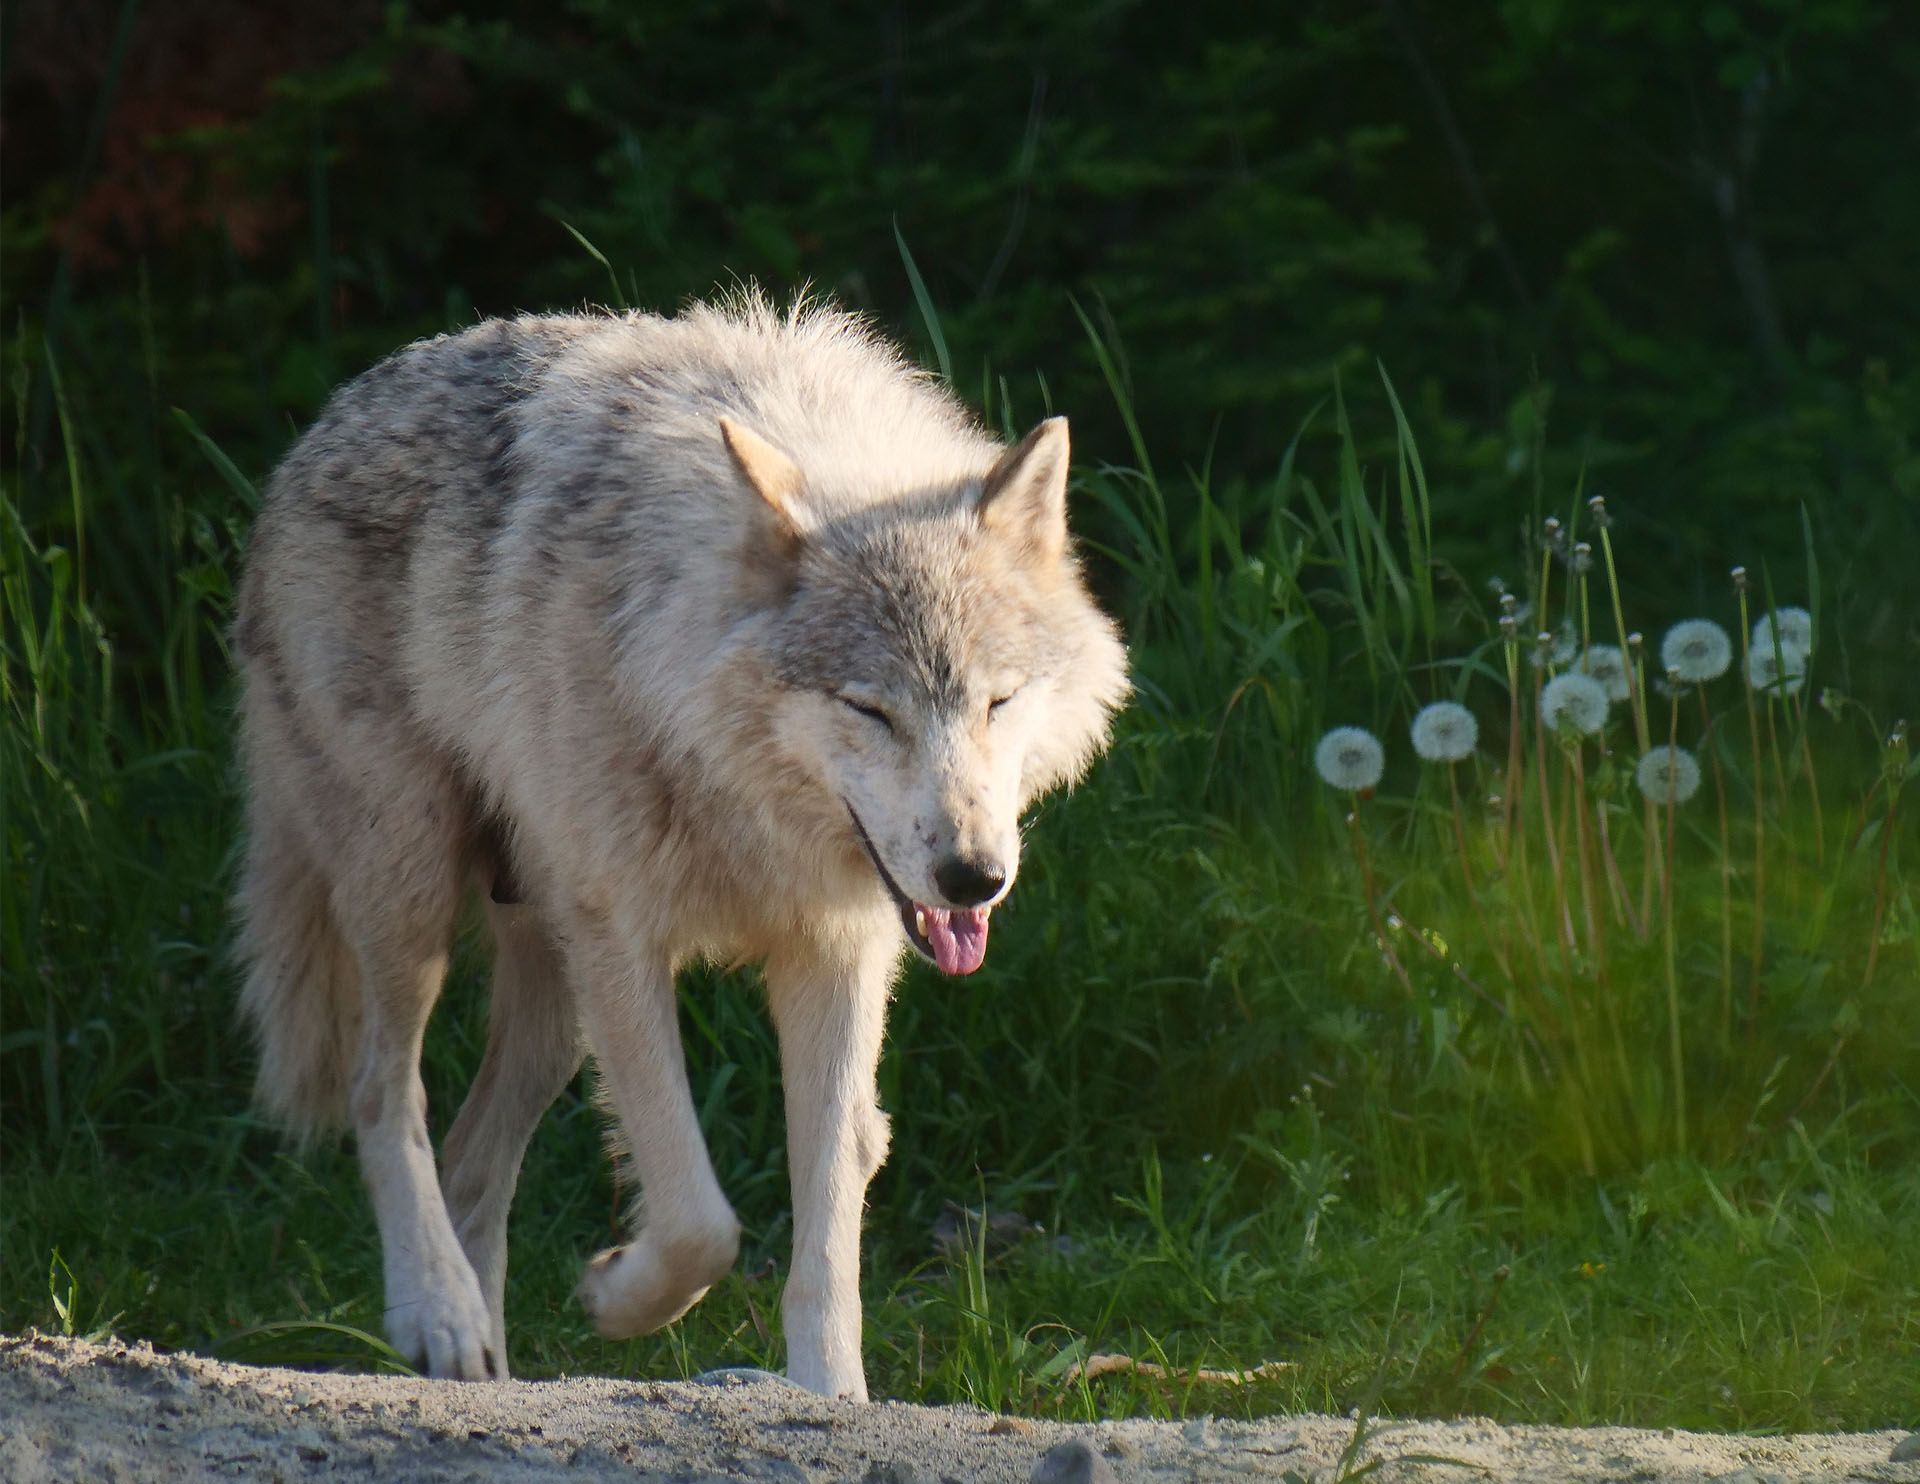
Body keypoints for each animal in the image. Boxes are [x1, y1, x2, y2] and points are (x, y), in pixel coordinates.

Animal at [231, 294, 1128, 1400]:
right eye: (868, 708)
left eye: (997, 701)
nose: (974, 876)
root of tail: (313, 435)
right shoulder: (625, 945)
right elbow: (701, 1218)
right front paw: (616, 1297)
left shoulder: (837, 951)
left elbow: (830, 1214)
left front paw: (831, 1396)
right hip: (414, 896)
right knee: (383, 1092)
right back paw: (435, 1310)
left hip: (553, 1002)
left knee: (472, 1157)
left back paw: (482, 1366)